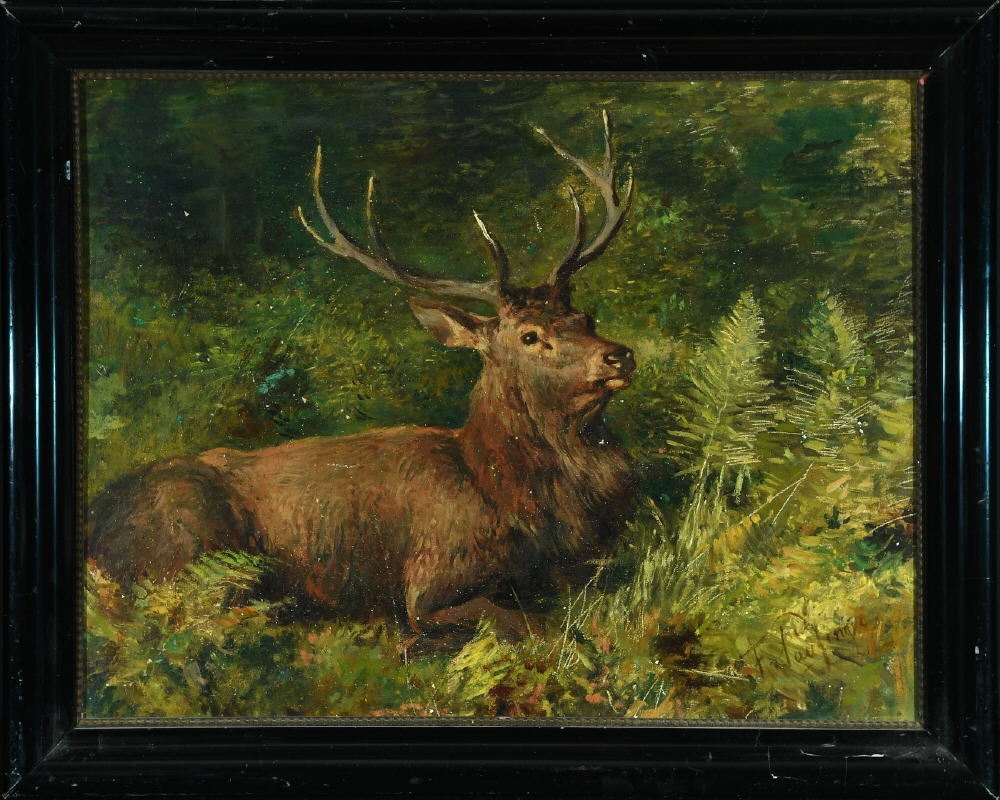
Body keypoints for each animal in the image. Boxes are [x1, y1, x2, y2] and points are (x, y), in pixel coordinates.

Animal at [88, 111, 638, 644]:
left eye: (584, 318)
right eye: (529, 335)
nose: (619, 356)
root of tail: (97, 527)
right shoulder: (433, 576)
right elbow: (537, 627)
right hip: (187, 539)